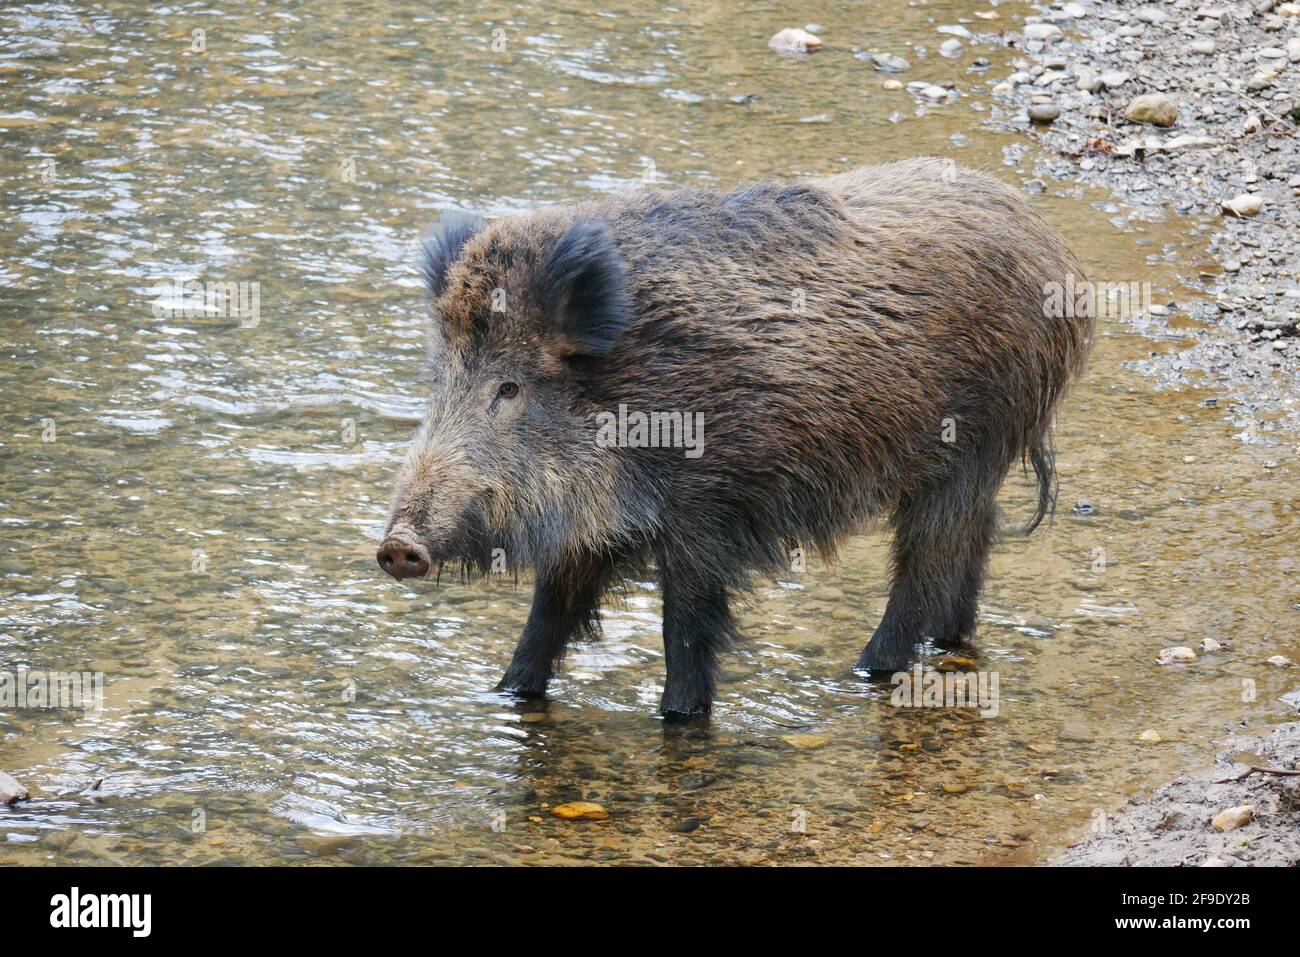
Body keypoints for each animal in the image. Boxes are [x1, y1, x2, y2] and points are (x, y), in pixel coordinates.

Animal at [377, 158, 1091, 720]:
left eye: (509, 387)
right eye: (442, 377)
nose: (397, 547)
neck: (628, 390)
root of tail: (1049, 246)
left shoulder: (704, 515)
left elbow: (686, 629)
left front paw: (680, 715)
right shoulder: (593, 529)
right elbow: (547, 618)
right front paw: (505, 695)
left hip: (968, 451)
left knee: (926, 560)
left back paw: (867, 669)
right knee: (975, 543)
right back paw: (948, 643)